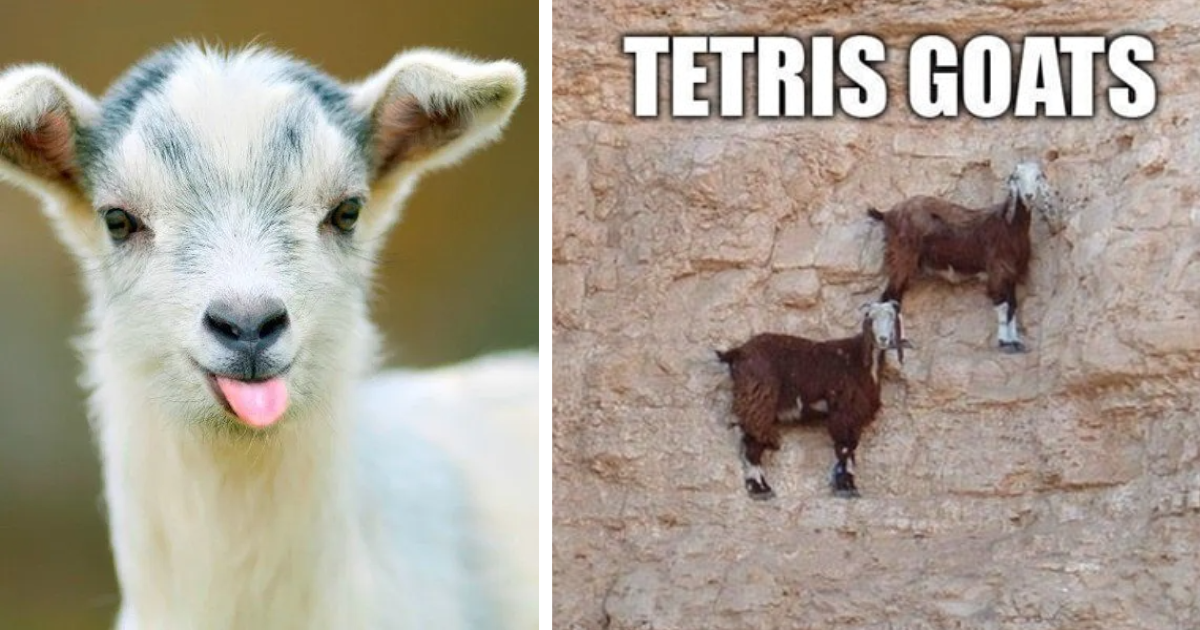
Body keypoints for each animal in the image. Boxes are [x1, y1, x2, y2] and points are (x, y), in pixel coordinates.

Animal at [716, 301, 901, 500]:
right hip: (759, 402)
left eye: (892, 317)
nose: (883, 339)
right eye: (871, 318)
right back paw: (760, 490)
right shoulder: (844, 410)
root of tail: (738, 352)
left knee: (752, 442)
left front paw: (849, 486)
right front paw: (845, 488)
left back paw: (762, 488)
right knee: (753, 445)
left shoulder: (855, 415)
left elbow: (850, 449)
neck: (858, 359)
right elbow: (844, 448)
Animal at [867, 161, 1064, 353]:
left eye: (1037, 177)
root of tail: (888, 214)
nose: (1029, 195)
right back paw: (895, 342)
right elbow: (1003, 305)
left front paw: (1015, 342)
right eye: (1017, 177)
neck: (1009, 226)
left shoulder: (1011, 273)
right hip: (902, 258)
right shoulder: (998, 269)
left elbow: (1013, 306)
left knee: (894, 297)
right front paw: (1004, 343)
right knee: (890, 295)